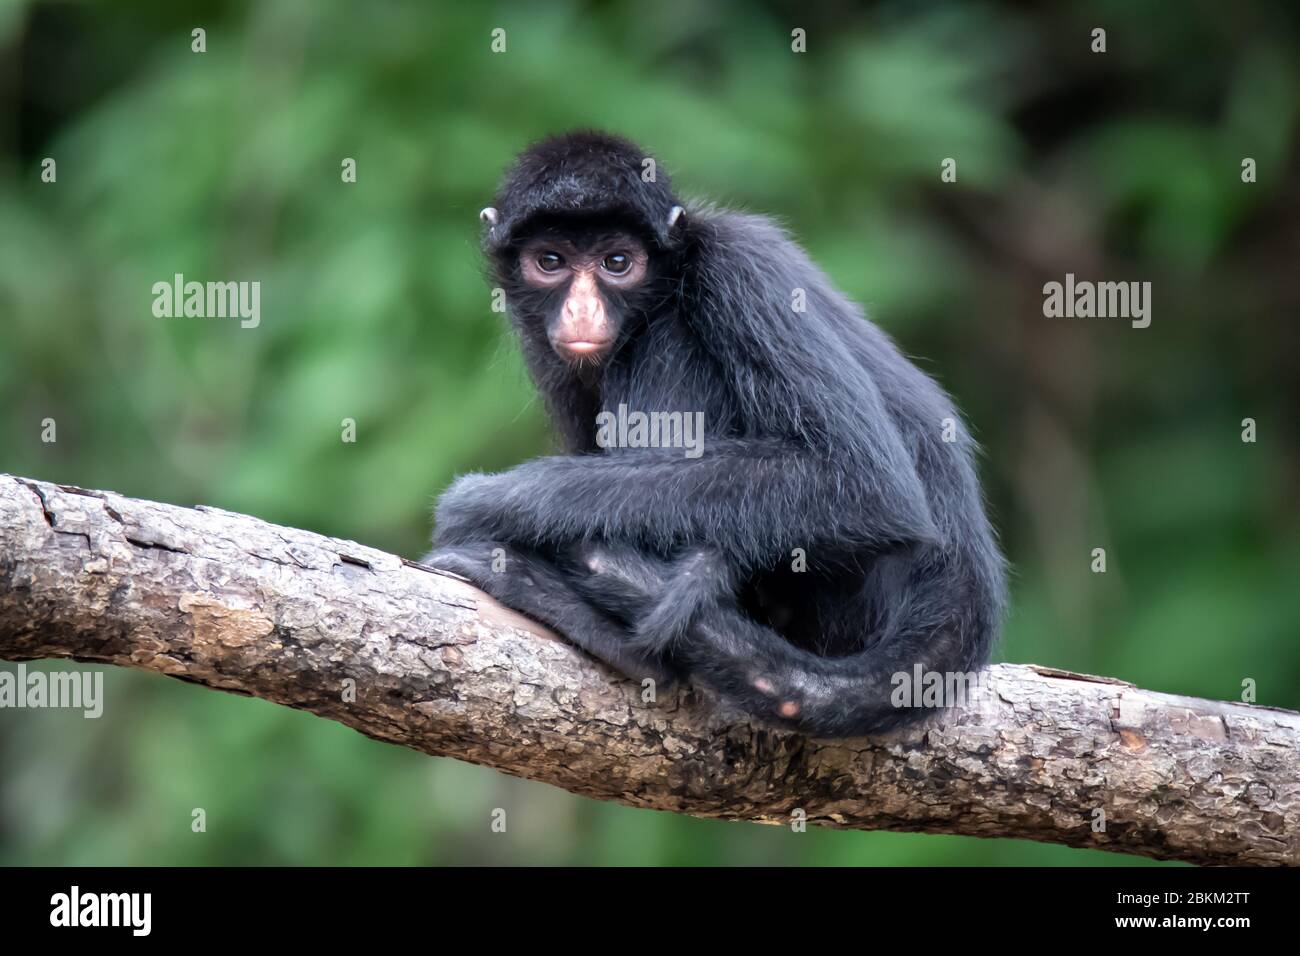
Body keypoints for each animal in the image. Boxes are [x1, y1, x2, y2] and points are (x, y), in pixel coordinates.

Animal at [425, 130, 1007, 737]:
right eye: (550, 261)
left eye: (617, 262)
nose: (582, 310)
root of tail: (965, 590)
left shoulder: (740, 262)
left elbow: (867, 486)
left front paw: (492, 503)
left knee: (667, 332)